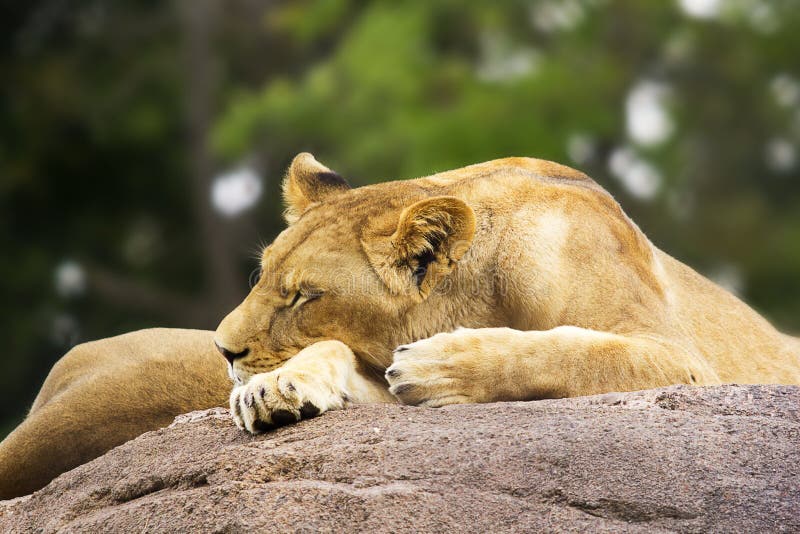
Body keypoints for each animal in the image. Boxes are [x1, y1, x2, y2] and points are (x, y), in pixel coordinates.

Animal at [216, 153, 800, 433]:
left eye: (304, 296)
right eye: (260, 276)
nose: (222, 350)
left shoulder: (685, 361)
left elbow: (572, 351)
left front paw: (440, 364)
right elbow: (335, 351)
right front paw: (272, 387)